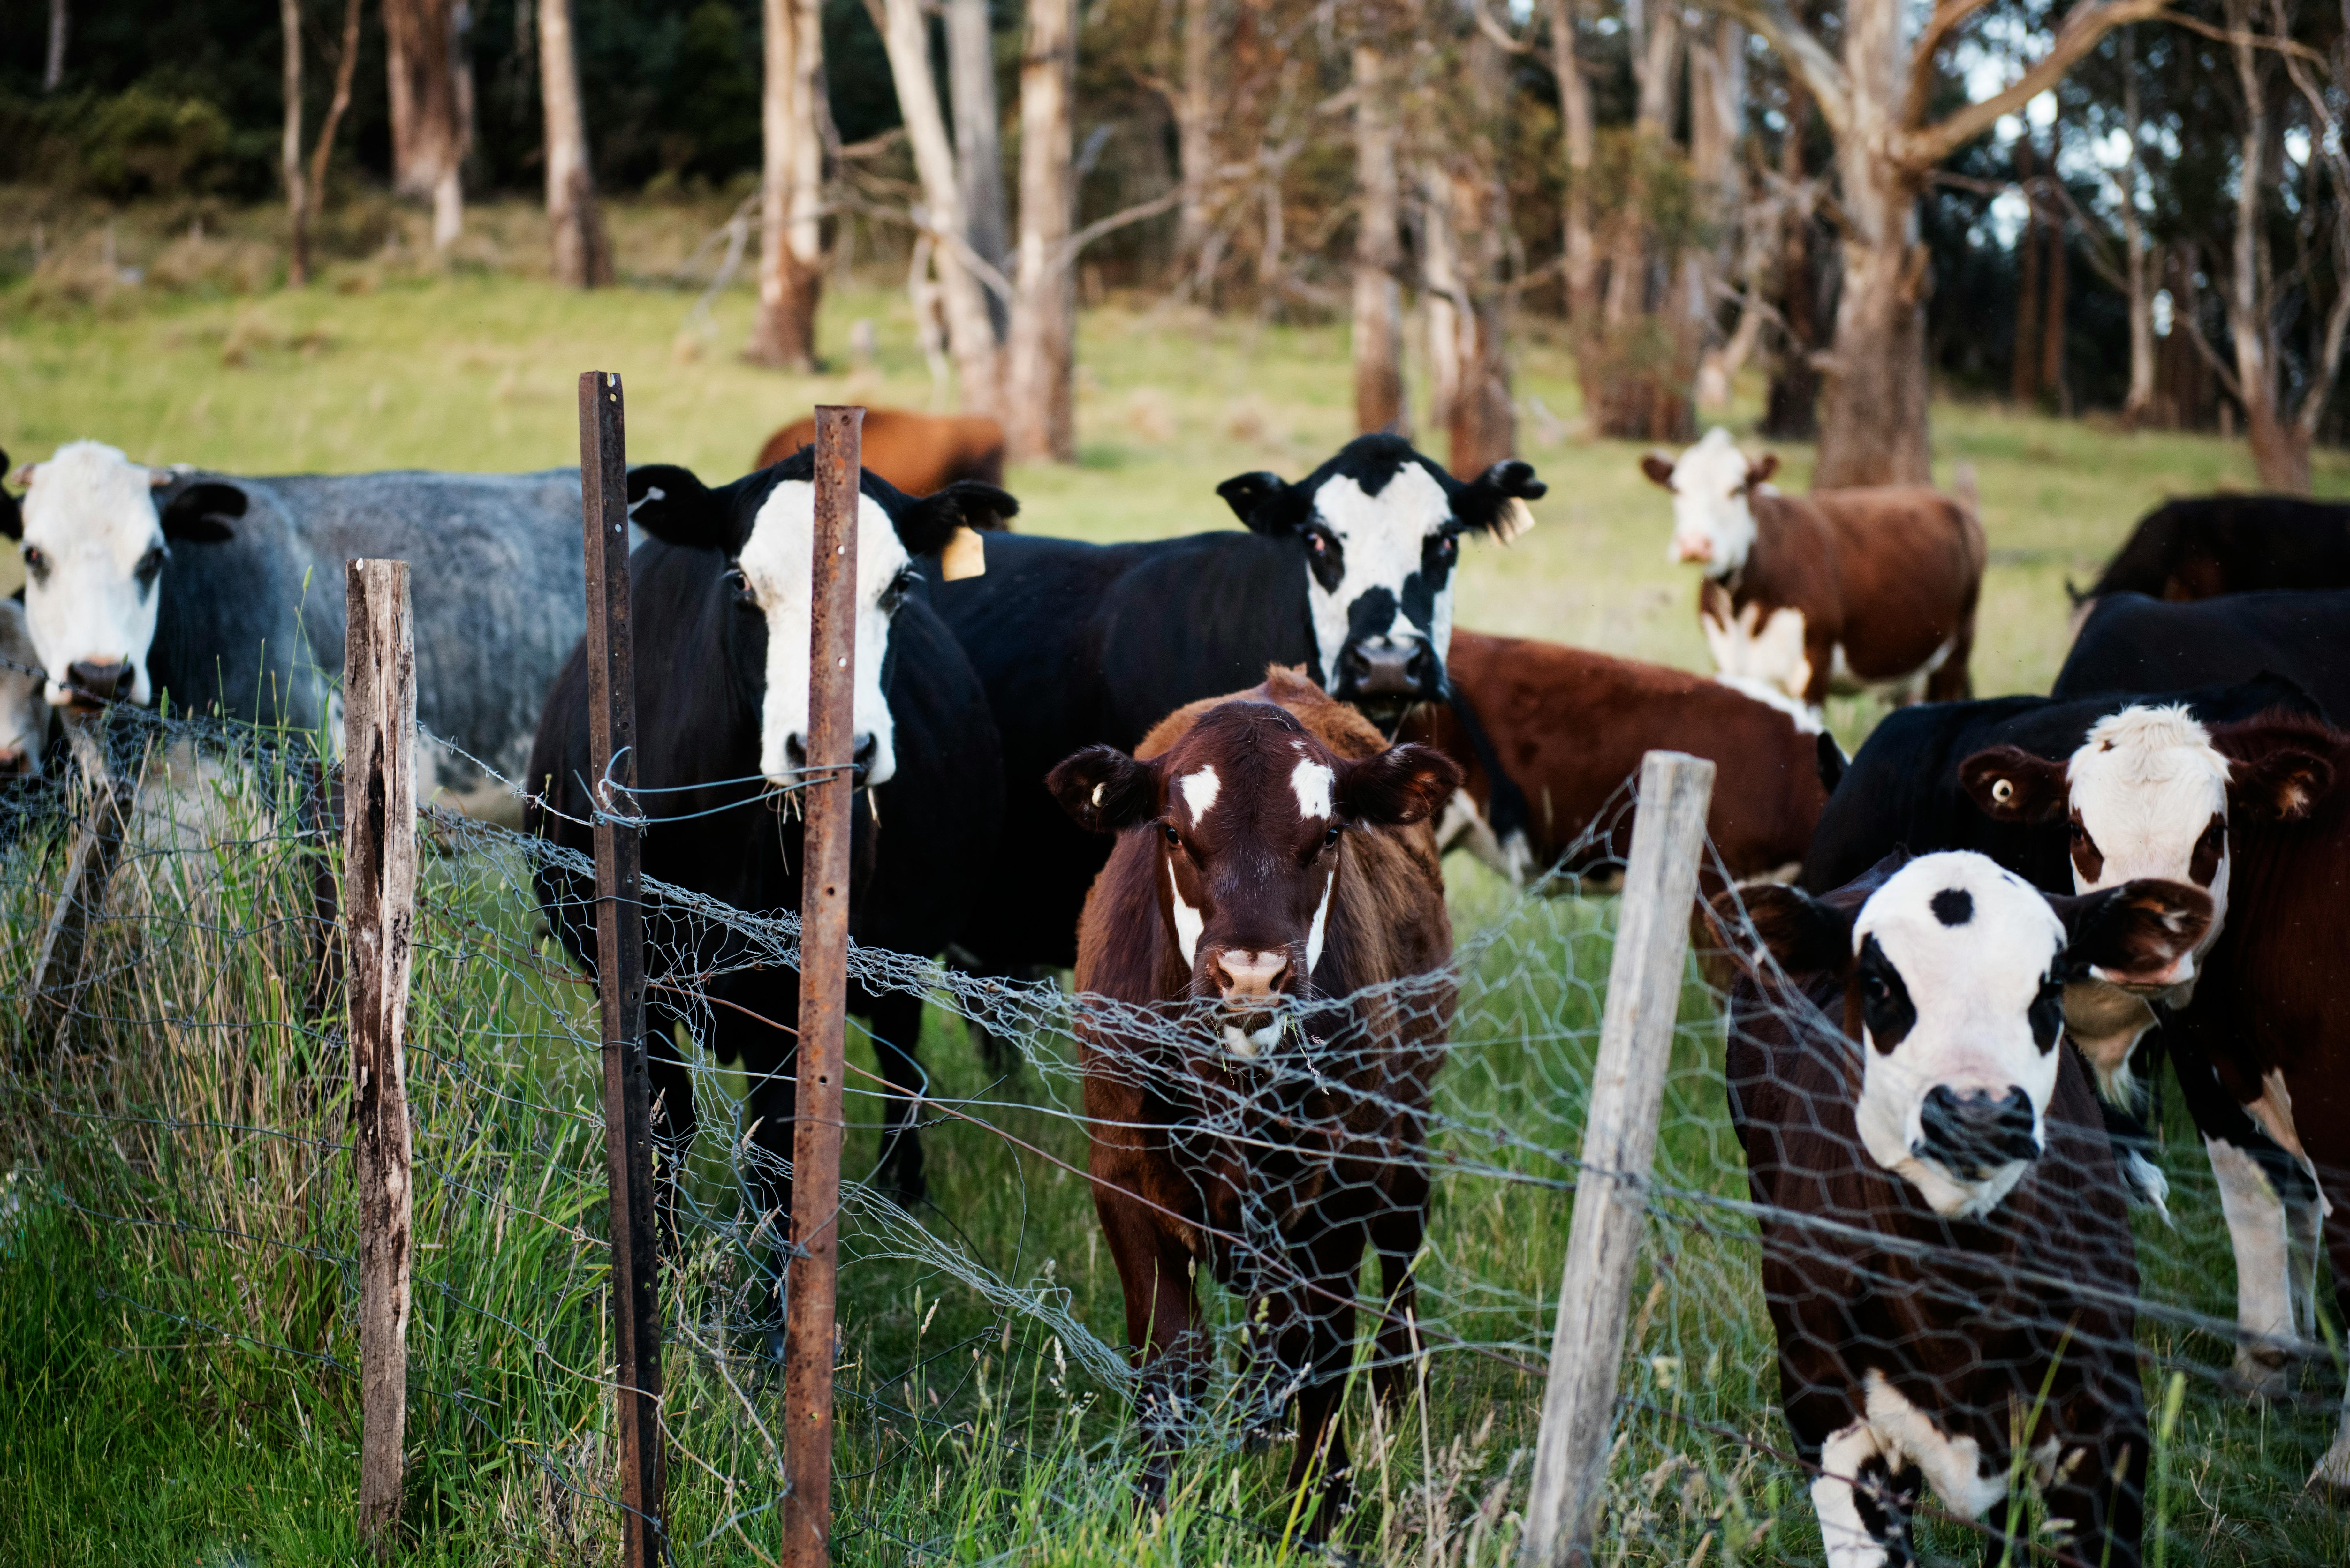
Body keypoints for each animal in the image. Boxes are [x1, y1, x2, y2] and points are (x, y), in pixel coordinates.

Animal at [528, 450, 1013, 1306]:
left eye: (899, 586)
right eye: (741, 584)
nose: (834, 749)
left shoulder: (790, 1001)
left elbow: (778, 1149)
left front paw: (773, 1306)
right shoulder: (625, 974)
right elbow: (663, 1124)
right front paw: (666, 1268)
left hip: (900, 957)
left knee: (902, 1059)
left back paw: (903, 1194)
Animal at [1045, 666, 1460, 1537]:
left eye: (1329, 832)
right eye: (1172, 831)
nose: (1251, 977)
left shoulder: (1341, 1182)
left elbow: (1324, 1351)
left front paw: (1316, 1509)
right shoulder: (1120, 1173)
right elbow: (1170, 1355)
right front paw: (1153, 1504)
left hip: (1406, 1122)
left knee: (1399, 1249)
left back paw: (1395, 1392)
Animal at [1641, 427, 1985, 711]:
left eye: (1738, 489)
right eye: (1676, 489)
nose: (1695, 544)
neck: (1741, 607)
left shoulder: (1814, 666)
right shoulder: (1730, 666)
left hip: (1956, 652)